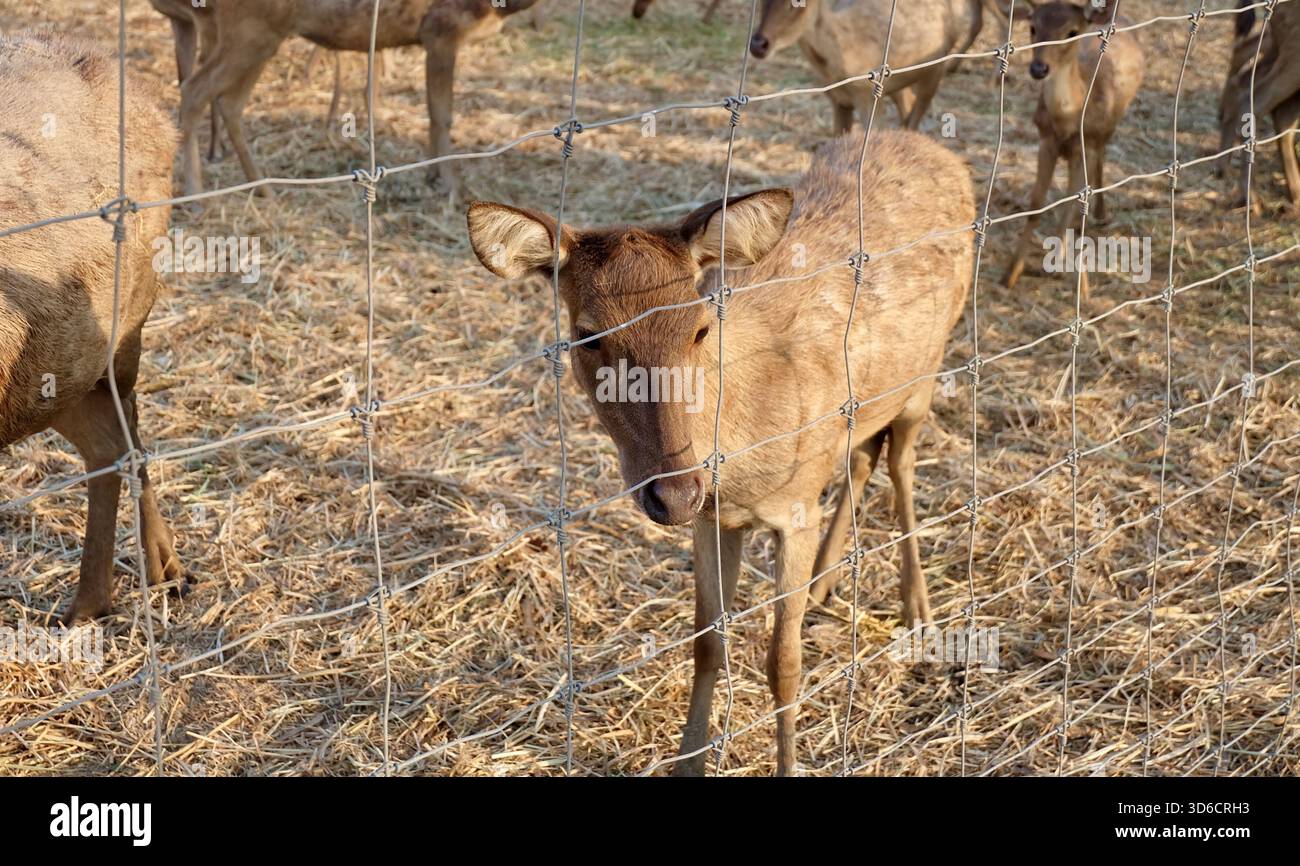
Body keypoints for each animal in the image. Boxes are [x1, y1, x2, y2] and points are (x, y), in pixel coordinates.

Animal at [1, 31, 182, 624]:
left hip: (129, 327)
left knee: (129, 431)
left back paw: (156, 568)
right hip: (60, 369)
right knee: (106, 445)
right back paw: (95, 601)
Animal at [176, 0, 545, 197]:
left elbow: (432, 112)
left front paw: (432, 176)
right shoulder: (441, 30)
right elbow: (442, 115)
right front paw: (450, 187)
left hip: (261, 35)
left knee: (229, 103)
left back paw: (264, 189)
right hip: (251, 30)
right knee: (195, 89)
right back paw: (196, 194)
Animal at [466, 129, 974, 775]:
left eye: (700, 327)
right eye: (587, 334)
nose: (673, 490)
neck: (740, 458)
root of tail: (936, 148)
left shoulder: (794, 509)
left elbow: (784, 663)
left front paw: (789, 764)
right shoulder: (713, 520)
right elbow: (707, 643)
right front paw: (688, 762)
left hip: (928, 372)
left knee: (901, 463)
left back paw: (920, 613)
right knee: (862, 456)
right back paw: (825, 585)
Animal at [746, 0, 1011, 133]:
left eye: (797, 4)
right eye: (760, 0)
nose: (759, 45)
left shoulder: (867, 96)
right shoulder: (838, 100)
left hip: (936, 66)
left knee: (915, 116)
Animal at [1001, 1, 1143, 297]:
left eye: (1072, 31)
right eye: (1033, 27)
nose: (1039, 68)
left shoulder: (1086, 145)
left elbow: (1072, 202)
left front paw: (1079, 284)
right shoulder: (1046, 140)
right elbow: (1037, 203)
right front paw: (1011, 274)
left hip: (1110, 125)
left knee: (1101, 158)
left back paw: (1099, 214)